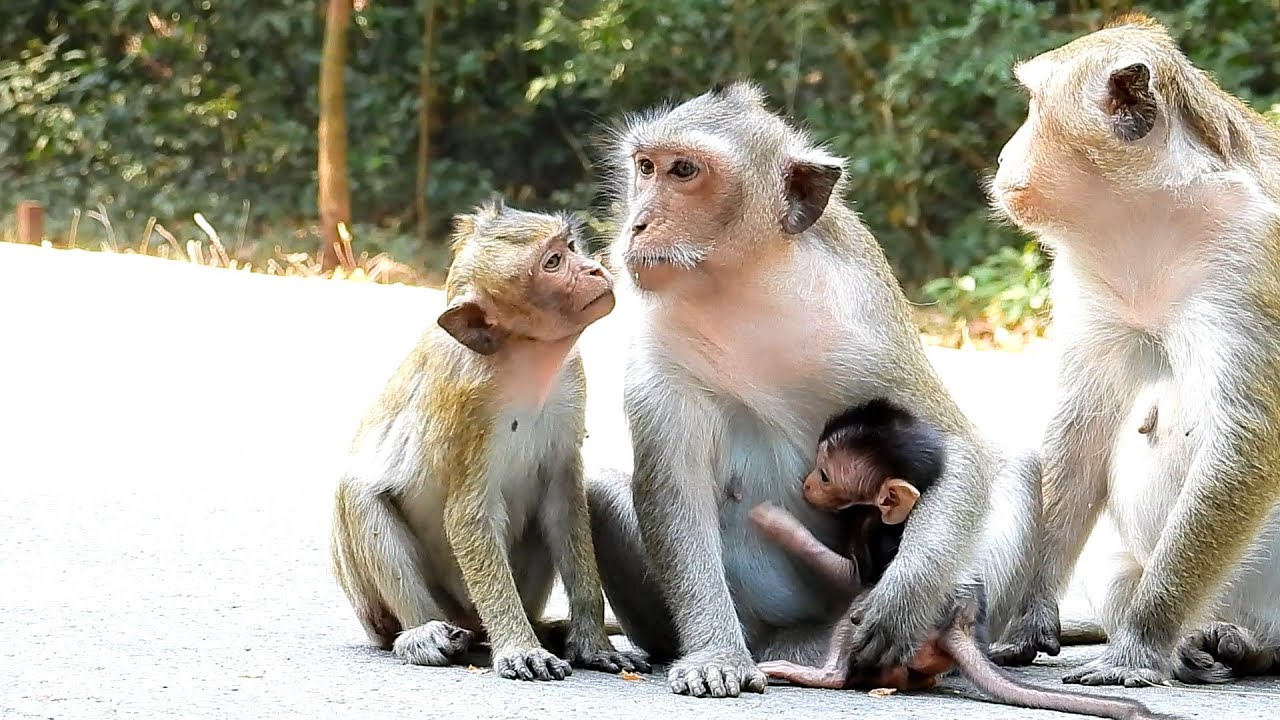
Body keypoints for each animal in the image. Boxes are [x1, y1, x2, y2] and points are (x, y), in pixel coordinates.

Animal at [330, 199, 649, 681]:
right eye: (553, 263)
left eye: (570, 246)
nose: (594, 269)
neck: (521, 357)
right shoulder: (468, 408)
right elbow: (468, 516)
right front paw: (519, 647)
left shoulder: (572, 381)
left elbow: (564, 502)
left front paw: (593, 643)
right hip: (384, 608)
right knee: (358, 496)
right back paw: (424, 634)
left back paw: (548, 628)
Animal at [583, 80, 1053, 698]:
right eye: (645, 167)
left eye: (683, 170)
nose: (635, 225)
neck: (742, 288)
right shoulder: (660, 348)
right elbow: (676, 490)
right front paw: (714, 655)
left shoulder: (866, 323)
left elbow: (959, 450)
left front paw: (905, 601)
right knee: (602, 488)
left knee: (1013, 465)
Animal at [746, 401, 1179, 720]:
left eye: (824, 475)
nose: (805, 483)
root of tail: (959, 627)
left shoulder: (874, 531)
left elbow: (852, 575)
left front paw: (773, 521)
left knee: (862, 611)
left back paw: (821, 674)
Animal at [990, 13, 1280, 687]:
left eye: (1034, 103)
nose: (1004, 153)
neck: (1153, 217)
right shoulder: (1082, 276)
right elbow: (1081, 428)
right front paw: (1028, 616)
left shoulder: (1256, 256)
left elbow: (1248, 436)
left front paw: (1138, 646)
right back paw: (1211, 642)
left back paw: (1236, 645)